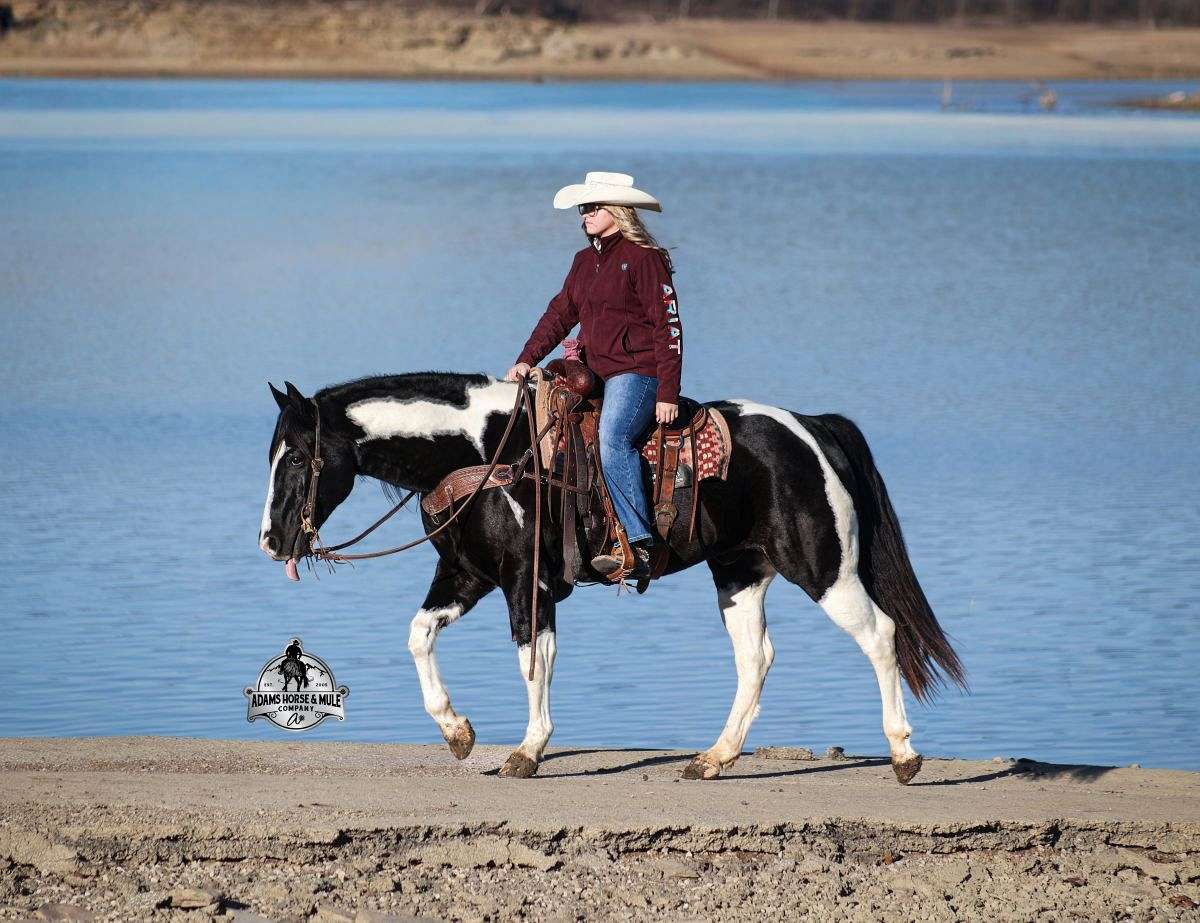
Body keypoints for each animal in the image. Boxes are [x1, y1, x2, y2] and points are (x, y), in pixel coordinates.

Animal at [258, 371, 965, 783]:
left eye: (294, 456)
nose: (271, 541)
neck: (487, 452)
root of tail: (812, 427)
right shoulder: (465, 576)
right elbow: (418, 636)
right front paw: (458, 734)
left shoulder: (527, 583)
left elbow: (532, 660)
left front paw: (528, 751)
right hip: (739, 572)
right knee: (755, 659)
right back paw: (713, 759)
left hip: (823, 569)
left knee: (880, 635)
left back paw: (904, 756)